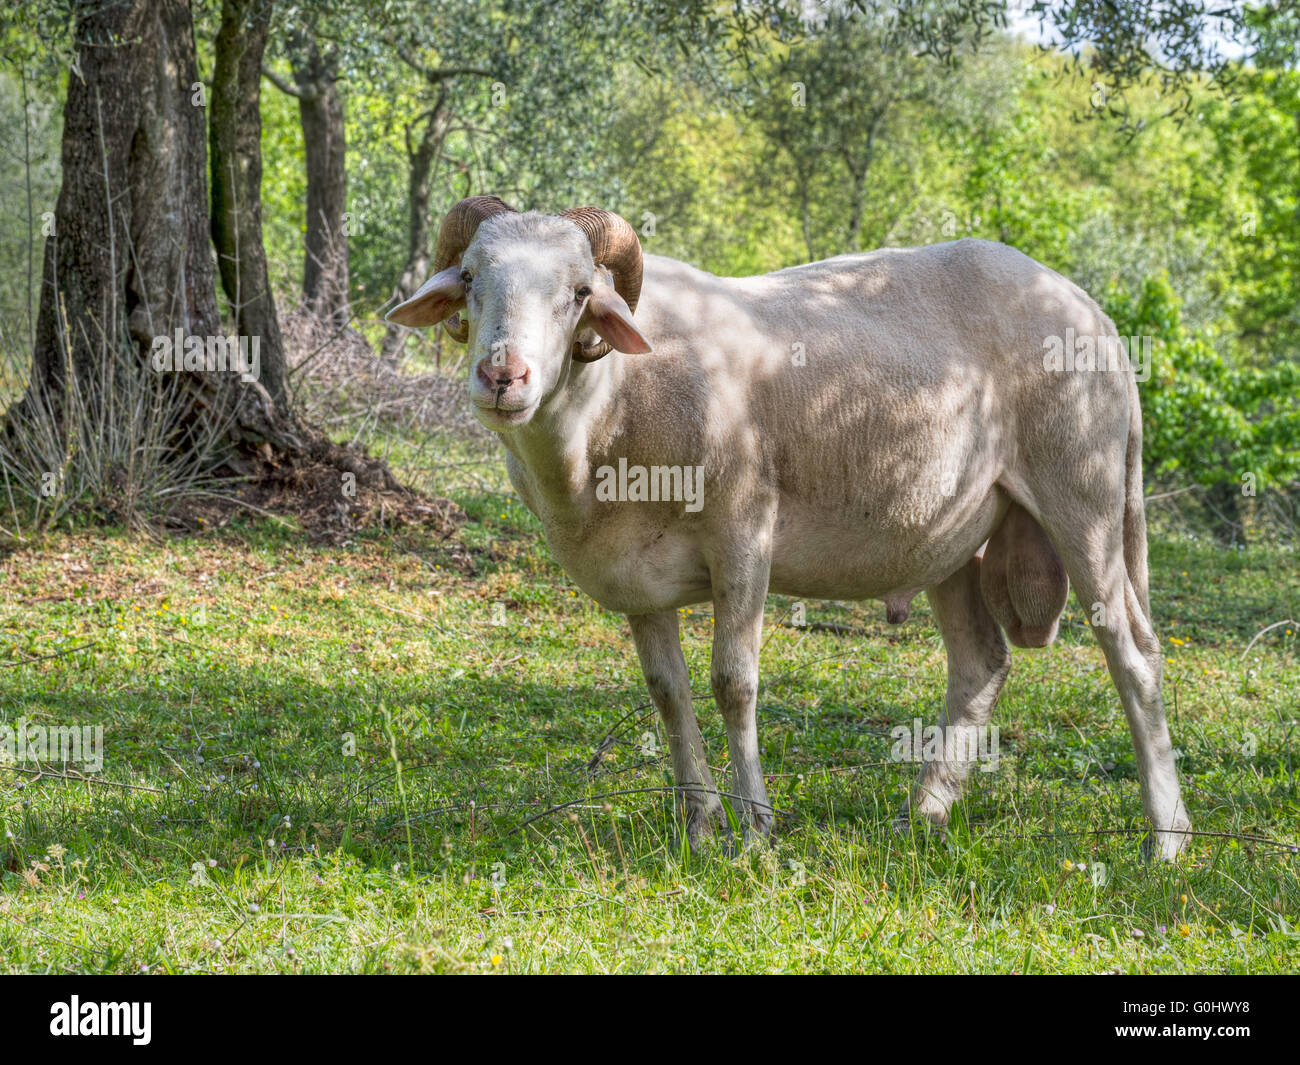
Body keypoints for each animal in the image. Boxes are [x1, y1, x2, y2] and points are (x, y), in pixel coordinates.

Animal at [388, 196, 1193, 860]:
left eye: (580, 293)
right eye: (469, 277)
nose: (504, 377)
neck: (612, 410)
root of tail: (1093, 311)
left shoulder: (744, 533)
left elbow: (732, 684)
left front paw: (757, 832)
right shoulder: (639, 578)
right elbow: (667, 693)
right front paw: (699, 826)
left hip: (1084, 494)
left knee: (1134, 654)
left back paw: (1167, 838)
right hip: (951, 535)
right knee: (981, 663)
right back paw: (924, 814)